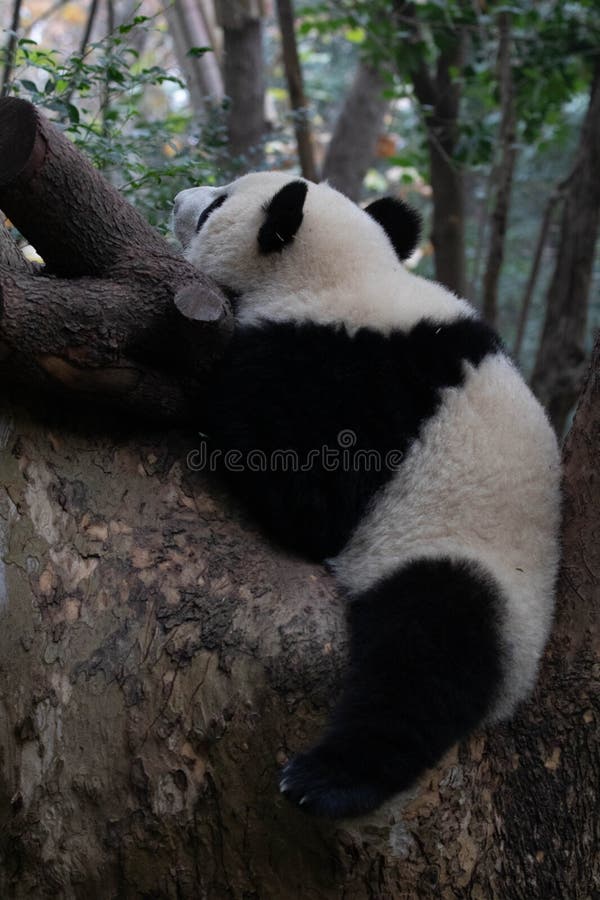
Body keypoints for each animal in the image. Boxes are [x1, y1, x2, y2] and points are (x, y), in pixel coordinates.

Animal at [173, 172, 561, 819]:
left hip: (476, 567)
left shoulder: (358, 381)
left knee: (428, 655)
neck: (346, 276)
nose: (181, 198)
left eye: (218, 204)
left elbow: (310, 501)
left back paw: (329, 779)